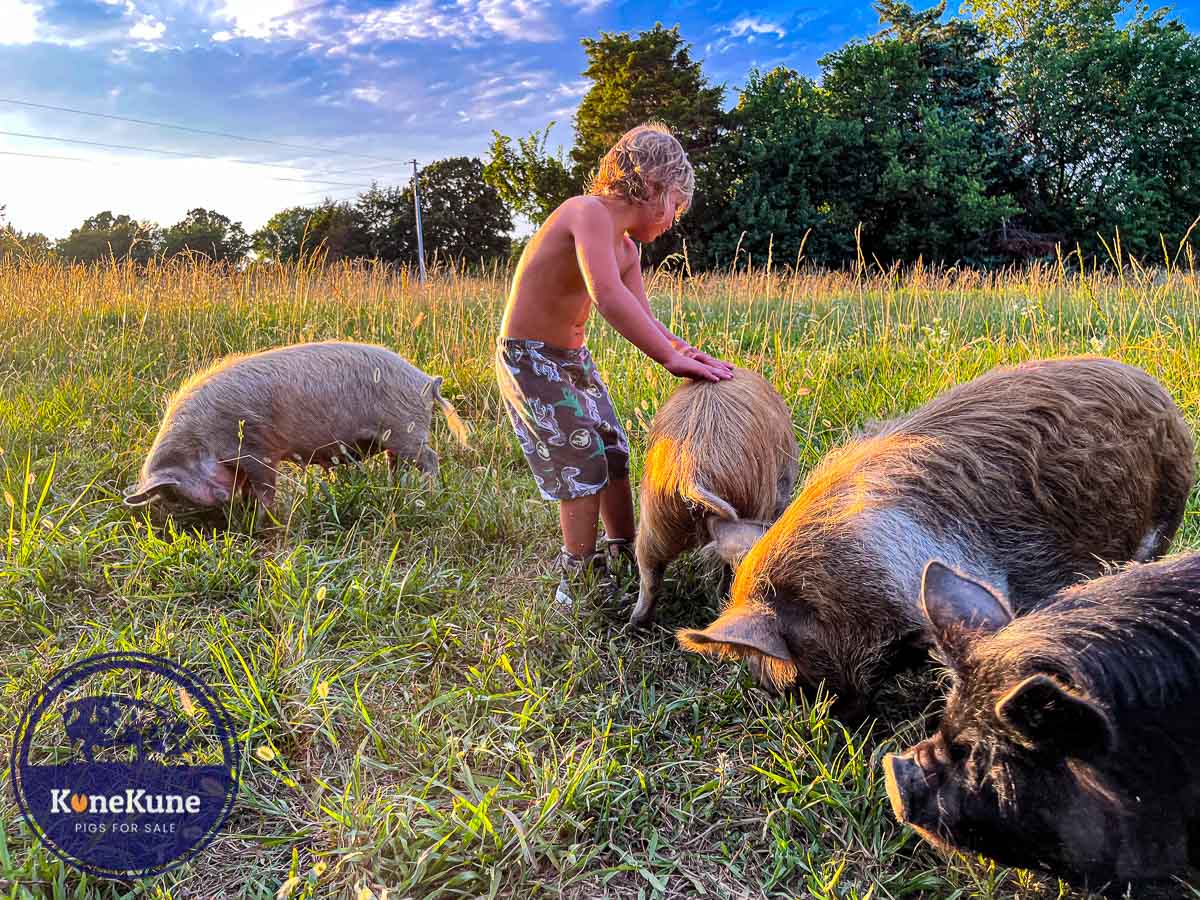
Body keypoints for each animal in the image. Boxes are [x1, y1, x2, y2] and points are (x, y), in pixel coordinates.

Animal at [124, 341, 471, 508]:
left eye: (174, 493)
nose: (221, 499)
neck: (202, 437)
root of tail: (426, 381)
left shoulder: (257, 447)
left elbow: (265, 486)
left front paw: (263, 515)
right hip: (397, 436)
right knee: (396, 463)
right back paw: (395, 486)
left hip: (406, 430)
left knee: (430, 459)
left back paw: (430, 493)